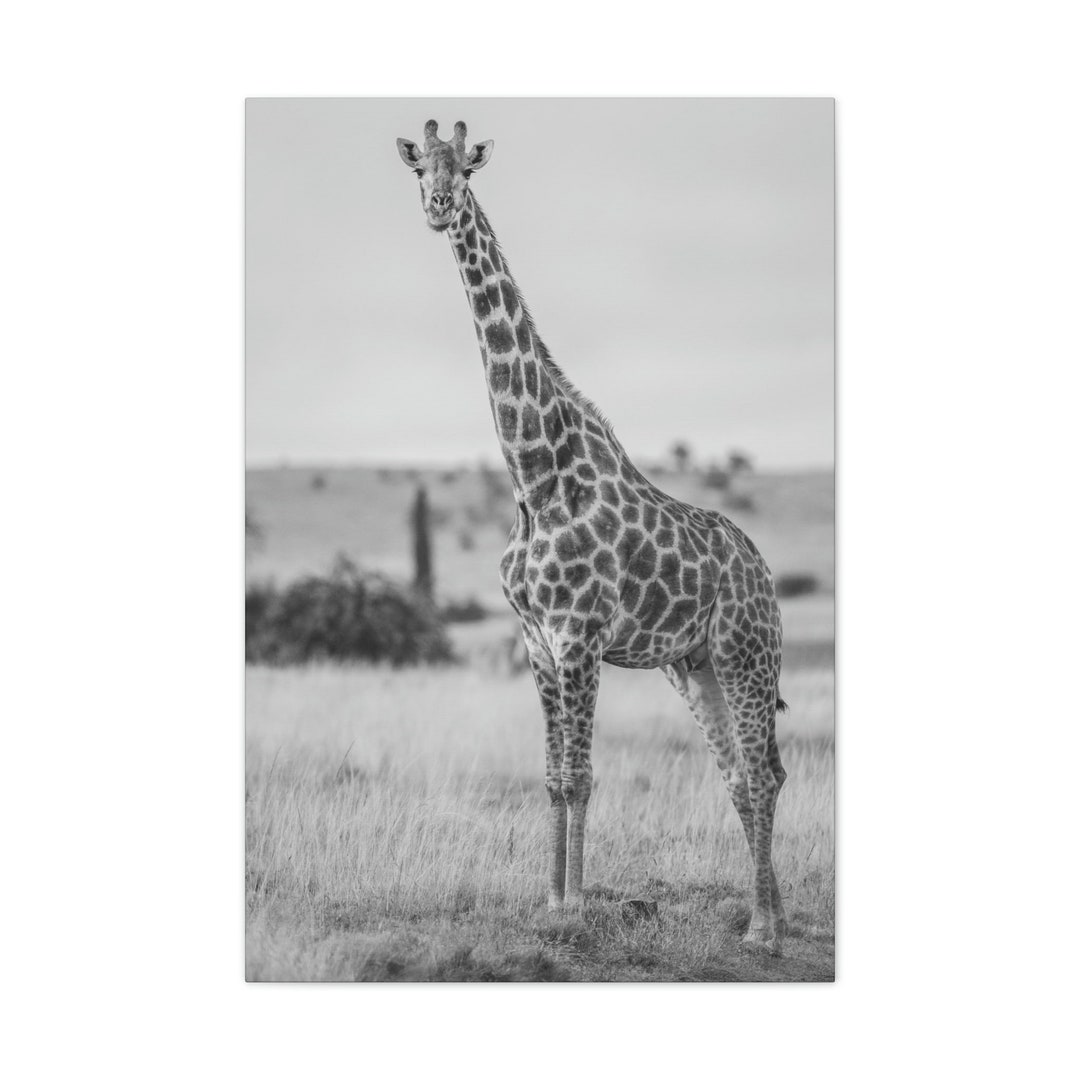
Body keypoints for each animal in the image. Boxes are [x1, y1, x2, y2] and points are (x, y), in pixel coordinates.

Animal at [396, 120, 789, 951]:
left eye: (465, 169)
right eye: (419, 170)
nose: (439, 208)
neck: (534, 474)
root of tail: (763, 572)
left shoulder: (579, 634)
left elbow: (580, 776)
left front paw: (576, 908)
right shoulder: (537, 641)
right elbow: (553, 778)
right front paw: (551, 902)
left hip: (746, 654)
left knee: (765, 771)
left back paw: (765, 930)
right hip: (694, 666)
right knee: (742, 776)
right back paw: (762, 918)